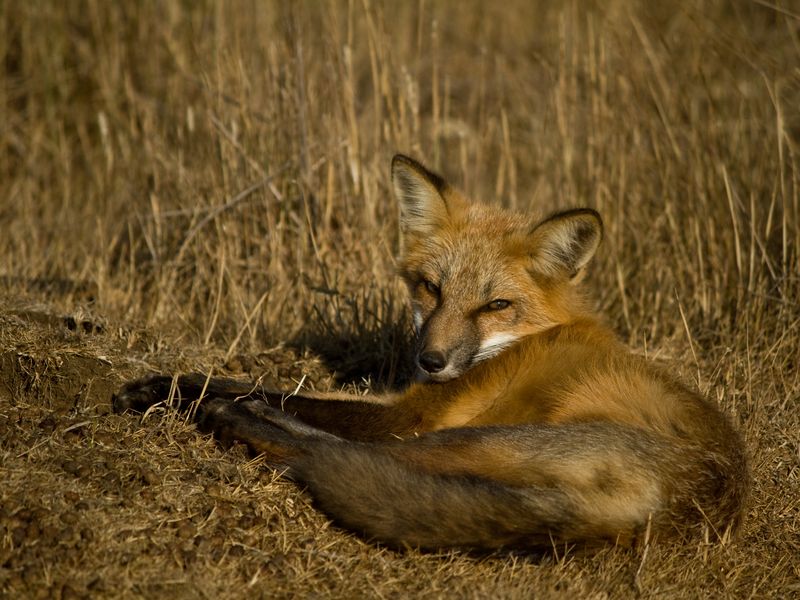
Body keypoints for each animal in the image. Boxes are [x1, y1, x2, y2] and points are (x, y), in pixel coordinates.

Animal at [113, 154, 748, 551]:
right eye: (430, 288)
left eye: (494, 305)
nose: (431, 362)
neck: (527, 336)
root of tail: (691, 502)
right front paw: (165, 386)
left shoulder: (411, 412)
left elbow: (282, 393)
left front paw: (183, 392)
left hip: (473, 437)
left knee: (340, 451)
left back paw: (237, 419)